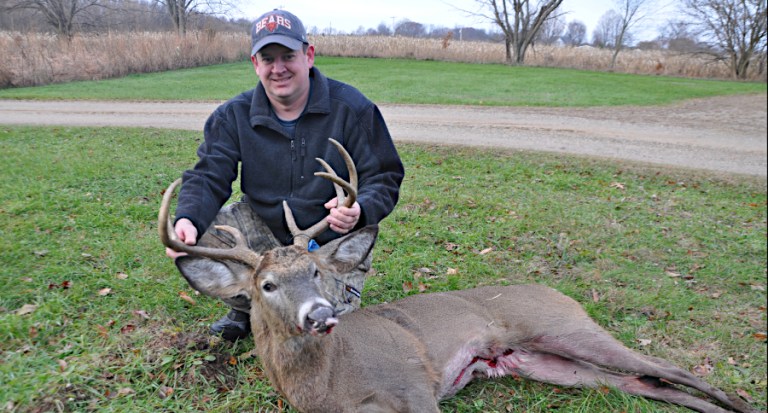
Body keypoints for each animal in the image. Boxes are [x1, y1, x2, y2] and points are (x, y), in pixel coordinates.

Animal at [158, 140, 757, 413]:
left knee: (669, 368)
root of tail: (557, 291)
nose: (321, 314)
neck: (328, 386)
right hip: (547, 363)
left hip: (564, 328)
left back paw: (742, 405)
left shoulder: (412, 384)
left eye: (316, 270)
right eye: (267, 286)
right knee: (639, 383)